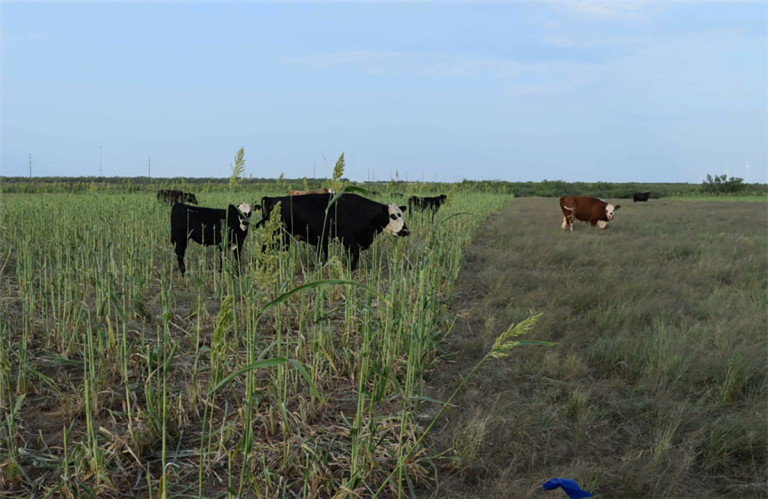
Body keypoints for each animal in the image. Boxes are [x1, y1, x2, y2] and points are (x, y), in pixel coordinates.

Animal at [257, 193, 409, 271]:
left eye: (401, 214)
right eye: (393, 216)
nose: (406, 231)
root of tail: (273, 198)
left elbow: (348, 255)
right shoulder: (348, 238)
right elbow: (356, 254)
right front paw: (350, 269)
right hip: (276, 234)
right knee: (265, 247)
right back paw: (262, 264)